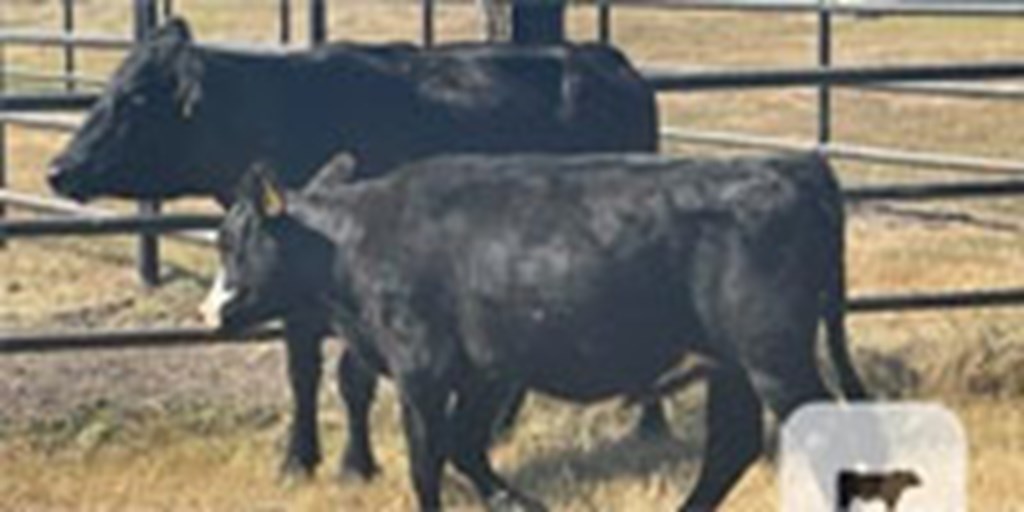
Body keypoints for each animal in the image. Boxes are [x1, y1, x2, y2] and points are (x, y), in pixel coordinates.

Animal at [47, 17, 661, 480]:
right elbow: (301, 373)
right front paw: (298, 460)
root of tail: (603, 57)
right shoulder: (295, 294)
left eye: (134, 98)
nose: (57, 169)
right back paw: (501, 428)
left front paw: (354, 464)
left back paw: (651, 427)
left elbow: (352, 378)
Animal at [202, 151, 870, 511]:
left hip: (775, 359)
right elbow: (466, 447)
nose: (208, 313)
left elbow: (428, 459)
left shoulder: (422, 371)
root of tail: (792, 165)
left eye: (233, 240)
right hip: (732, 365)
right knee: (729, 448)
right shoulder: (488, 373)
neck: (354, 243)